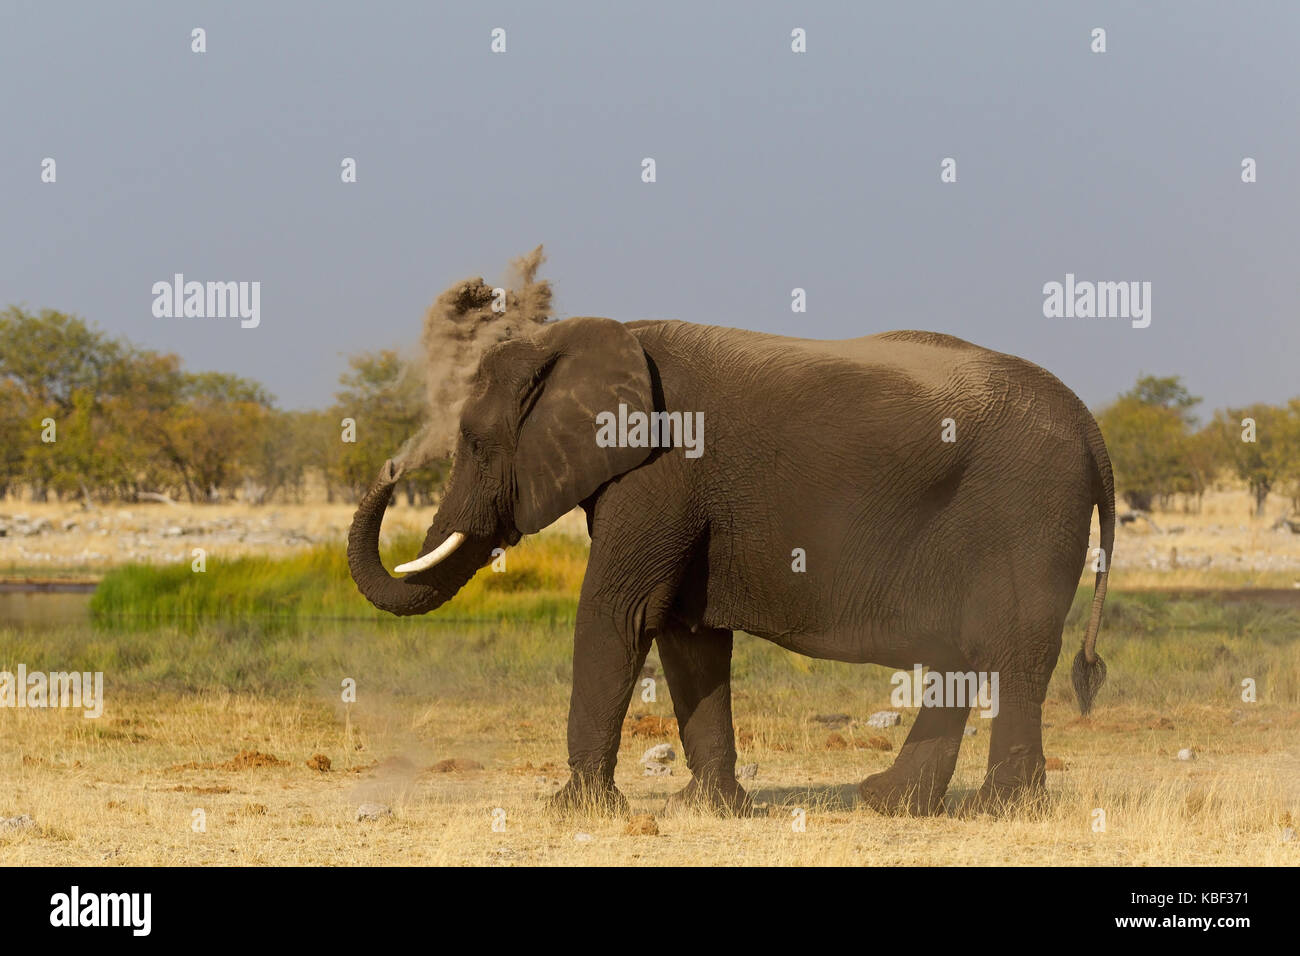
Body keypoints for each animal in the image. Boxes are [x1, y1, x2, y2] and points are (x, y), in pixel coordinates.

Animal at [347, 316, 1114, 816]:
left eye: (475, 443)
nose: (390, 468)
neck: (574, 340)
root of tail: (1090, 425)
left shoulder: (660, 469)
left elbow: (618, 614)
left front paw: (572, 809)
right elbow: (687, 635)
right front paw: (708, 807)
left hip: (1027, 506)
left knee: (1008, 654)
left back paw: (1001, 811)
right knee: (963, 655)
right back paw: (892, 802)